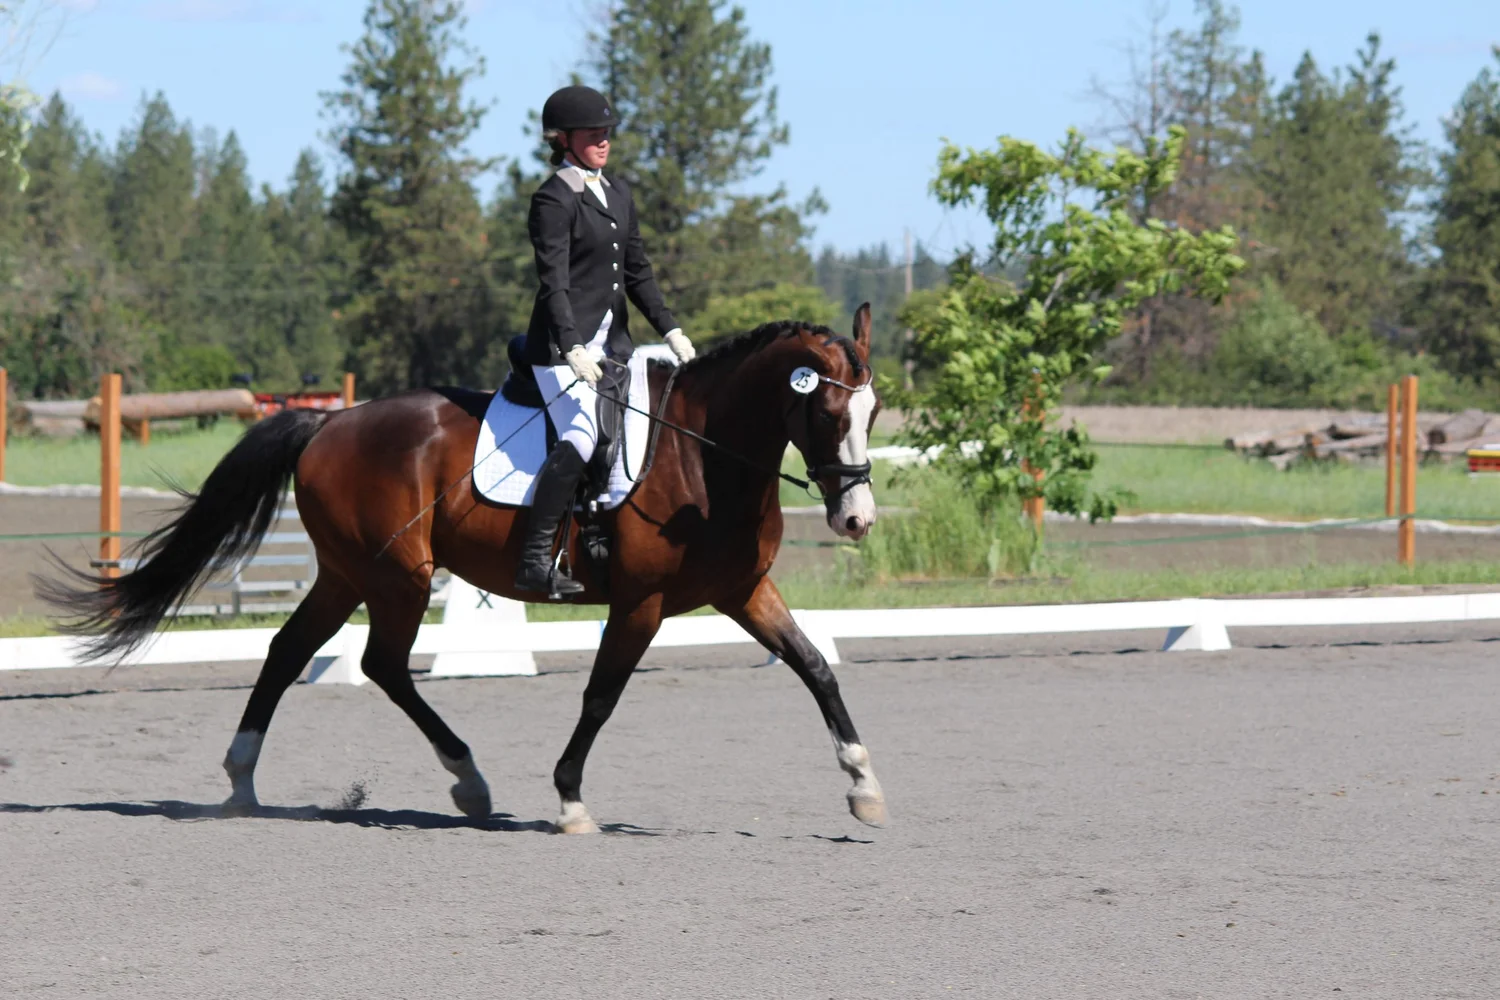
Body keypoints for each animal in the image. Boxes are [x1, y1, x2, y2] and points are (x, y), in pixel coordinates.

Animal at [40, 306, 888, 834]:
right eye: (825, 412)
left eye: (873, 413)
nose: (856, 520)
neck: (703, 459)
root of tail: (329, 422)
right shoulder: (639, 604)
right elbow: (602, 696)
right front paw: (571, 802)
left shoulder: (743, 592)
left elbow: (815, 668)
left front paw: (865, 786)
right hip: (398, 576)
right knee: (381, 664)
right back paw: (467, 780)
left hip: (349, 575)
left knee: (288, 652)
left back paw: (244, 781)